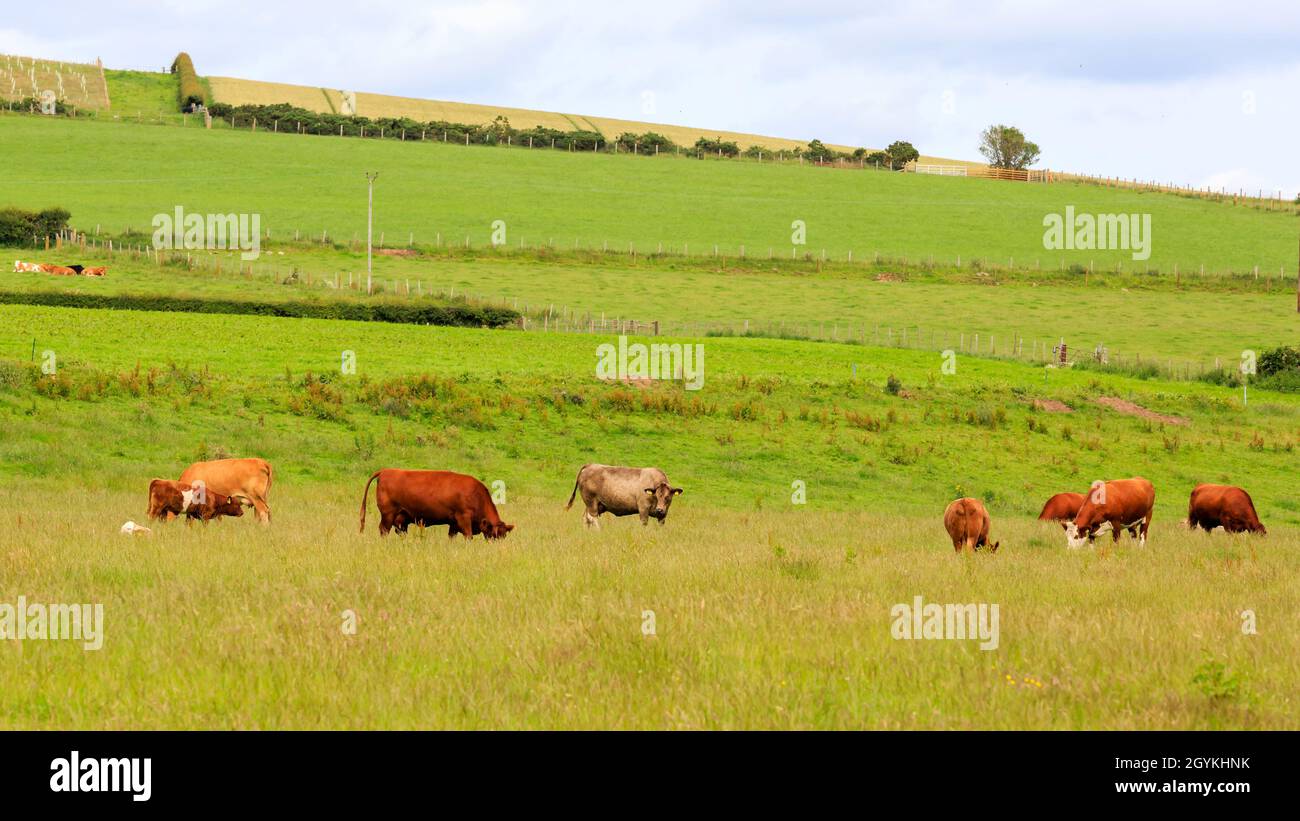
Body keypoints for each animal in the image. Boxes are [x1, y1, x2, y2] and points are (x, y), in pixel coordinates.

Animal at [359, 469, 513, 539]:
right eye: (494, 535)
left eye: (504, 536)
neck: (476, 494)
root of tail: (386, 471)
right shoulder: (464, 518)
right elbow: (468, 536)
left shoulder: (454, 524)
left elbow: (451, 536)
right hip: (388, 515)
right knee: (383, 530)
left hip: (401, 518)